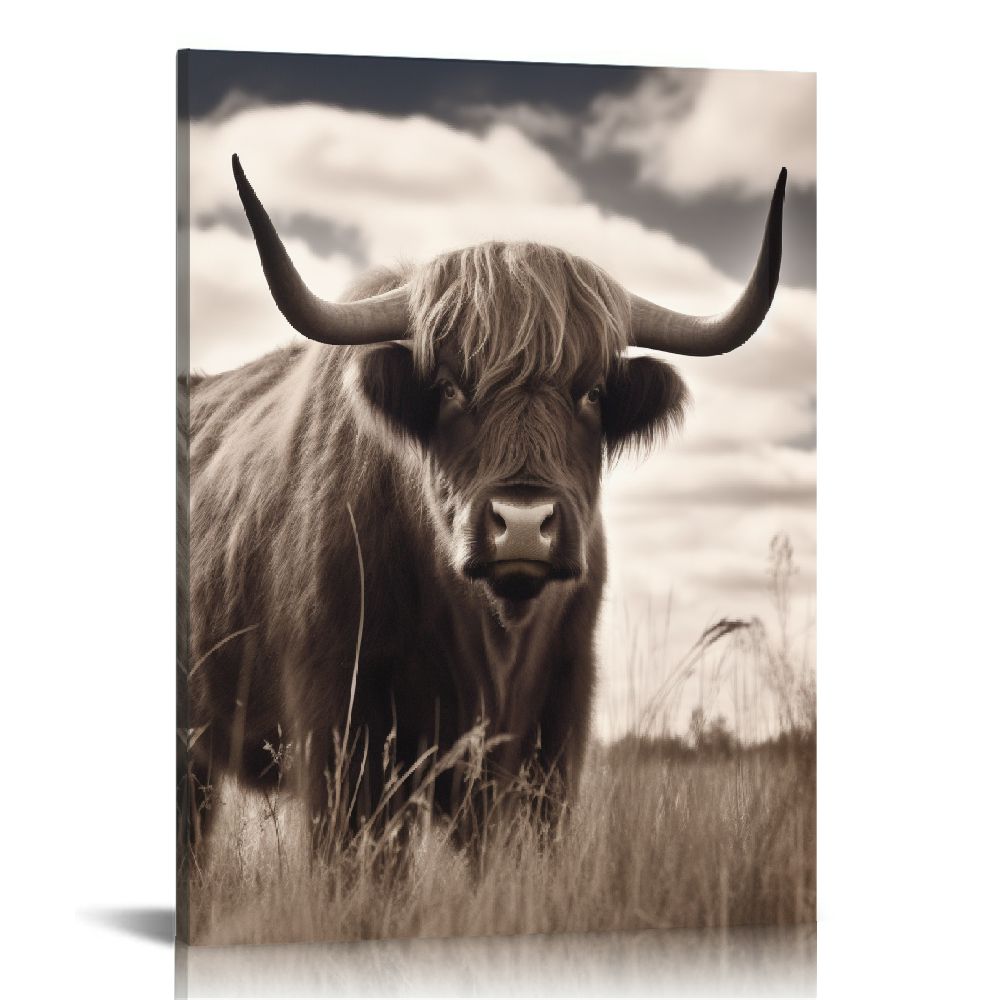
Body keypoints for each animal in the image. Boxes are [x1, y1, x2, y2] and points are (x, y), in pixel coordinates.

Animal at [178, 154, 786, 858]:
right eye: (447, 387)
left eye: (593, 391)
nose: (522, 526)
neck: (493, 637)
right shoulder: (340, 731)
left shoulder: (554, 730)